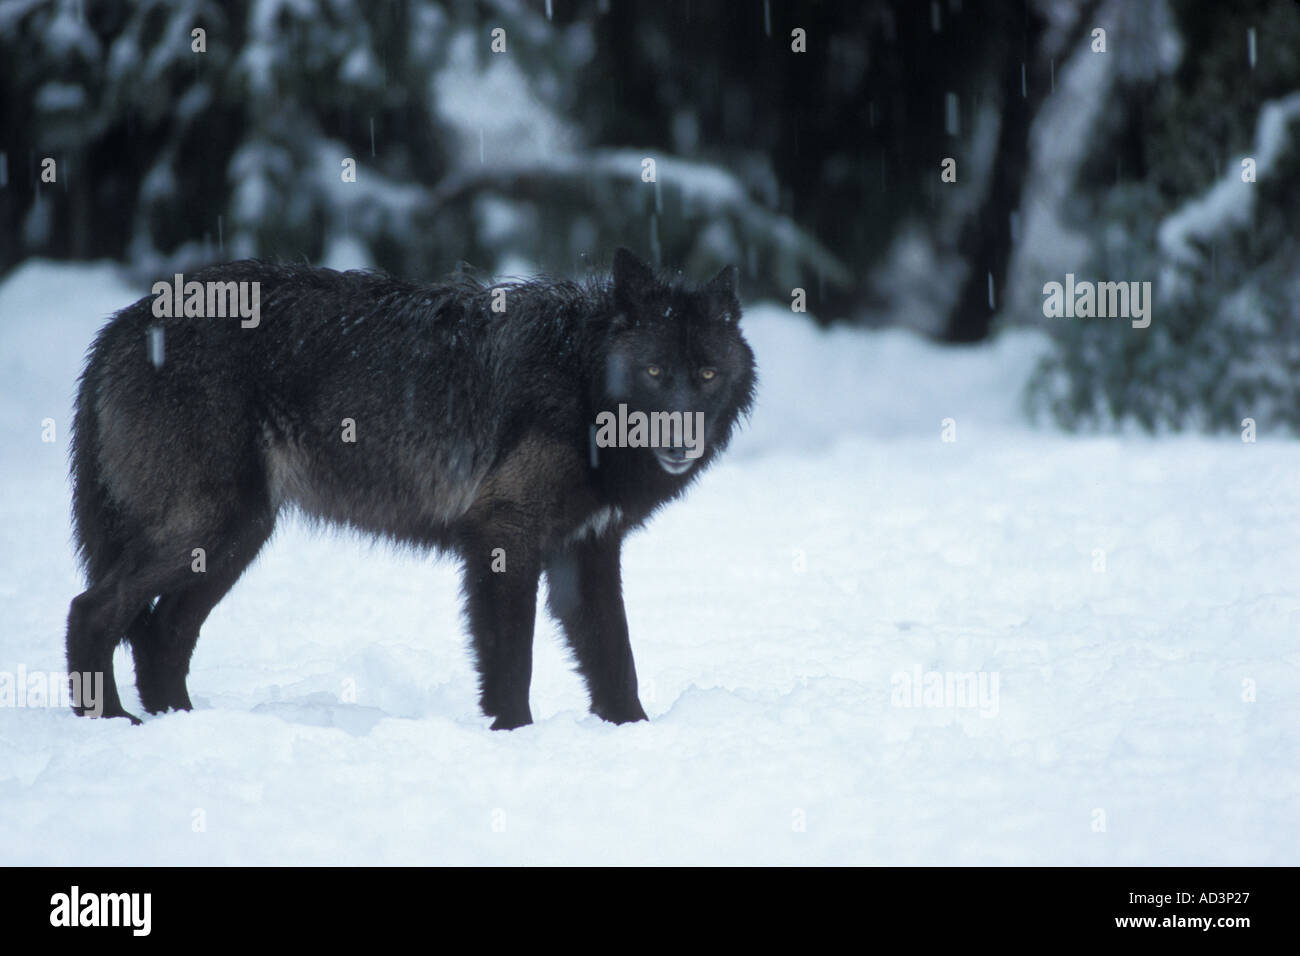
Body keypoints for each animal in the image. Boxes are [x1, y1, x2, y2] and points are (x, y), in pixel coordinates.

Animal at [65, 247, 757, 729]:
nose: (679, 442)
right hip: (210, 529)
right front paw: (516, 735)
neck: (581, 381)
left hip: (235, 540)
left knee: (162, 637)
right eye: (656, 372)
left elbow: (617, 663)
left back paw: (184, 726)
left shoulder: (586, 552)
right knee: (92, 610)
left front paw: (635, 735)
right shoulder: (503, 535)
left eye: (705, 374)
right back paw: (112, 723)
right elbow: (513, 664)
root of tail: (124, 321)